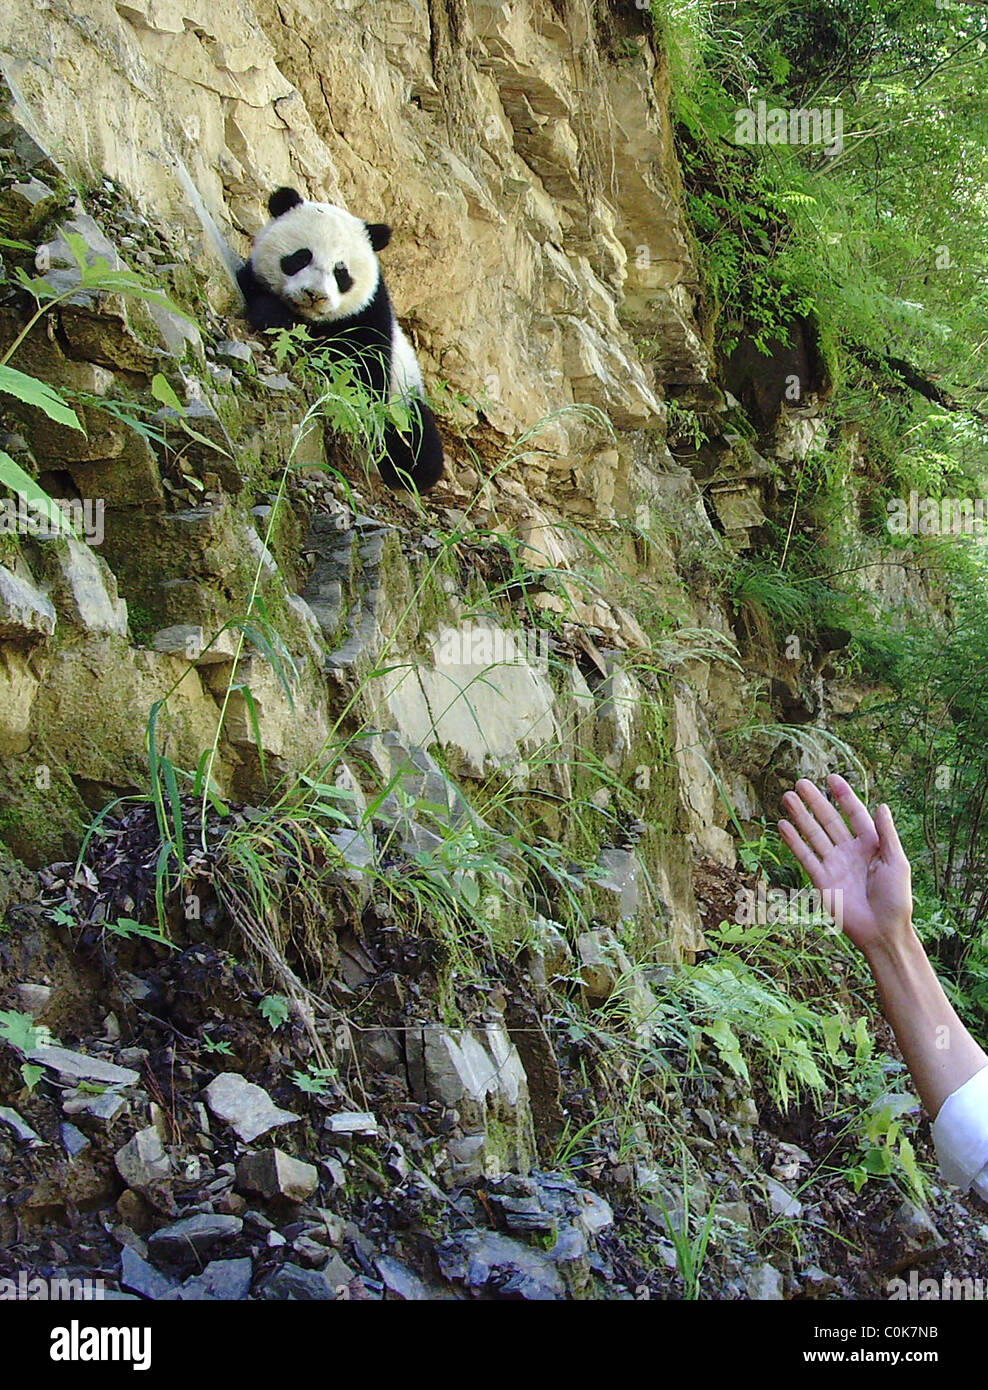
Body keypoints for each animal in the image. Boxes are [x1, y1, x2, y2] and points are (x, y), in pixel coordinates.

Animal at [237, 187, 444, 492]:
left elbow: (361, 378)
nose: (315, 295)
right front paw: (276, 317)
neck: (313, 321)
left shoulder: (370, 318)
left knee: (418, 448)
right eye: (301, 257)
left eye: (341, 272)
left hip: (405, 399)